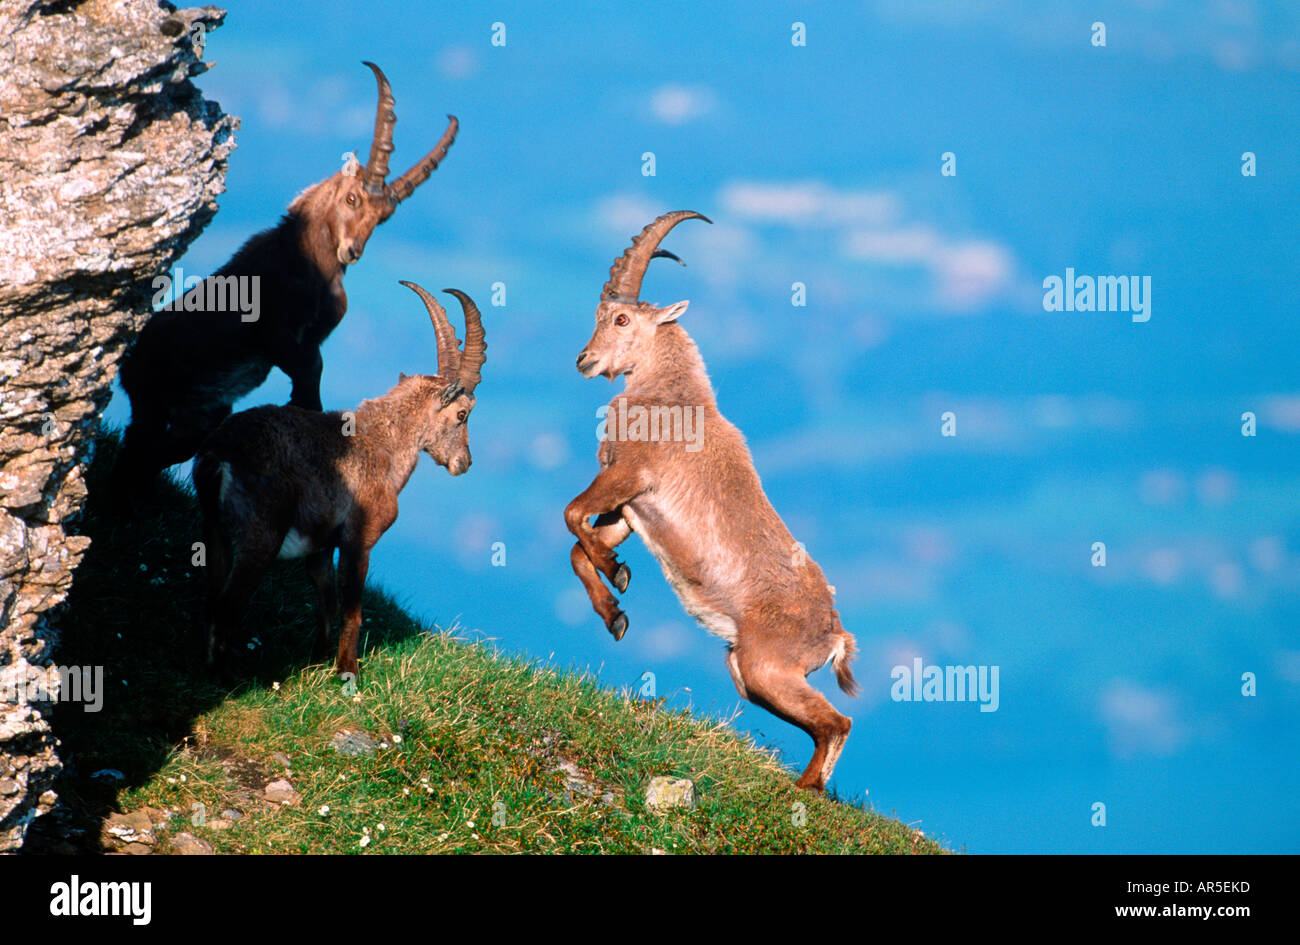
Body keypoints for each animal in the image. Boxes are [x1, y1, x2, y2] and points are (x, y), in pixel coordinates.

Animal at [115, 62, 457, 503]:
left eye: (383, 218)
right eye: (351, 198)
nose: (352, 250)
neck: (313, 264)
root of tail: (127, 360)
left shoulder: (311, 340)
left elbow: (311, 375)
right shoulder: (276, 336)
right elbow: (308, 378)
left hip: (200, 414)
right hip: (154, 400)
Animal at [192, 283, 485, 678]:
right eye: (462, 413)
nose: (464, 462)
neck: (382, 446)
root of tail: (220, 454)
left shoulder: (320, 548)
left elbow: (326, 603)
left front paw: (316, 660)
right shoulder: (358, 540)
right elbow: (352, 610)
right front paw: (348, 672)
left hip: (214, 531)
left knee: (212, 598)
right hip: (260, 538)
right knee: (227, 605)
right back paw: (228, 677)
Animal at [565, 211, 859, 792]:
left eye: (622, 319)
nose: (585, 360)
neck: (671, 397)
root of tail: (835, 635)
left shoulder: (628, 475)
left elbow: (569, 516)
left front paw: (617, 572)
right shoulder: (631, 508)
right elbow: (578, 546)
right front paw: (615, 611)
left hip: (768, 667)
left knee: (838, 722)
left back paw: (803, 791)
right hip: (748, 673)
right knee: (823, 724)